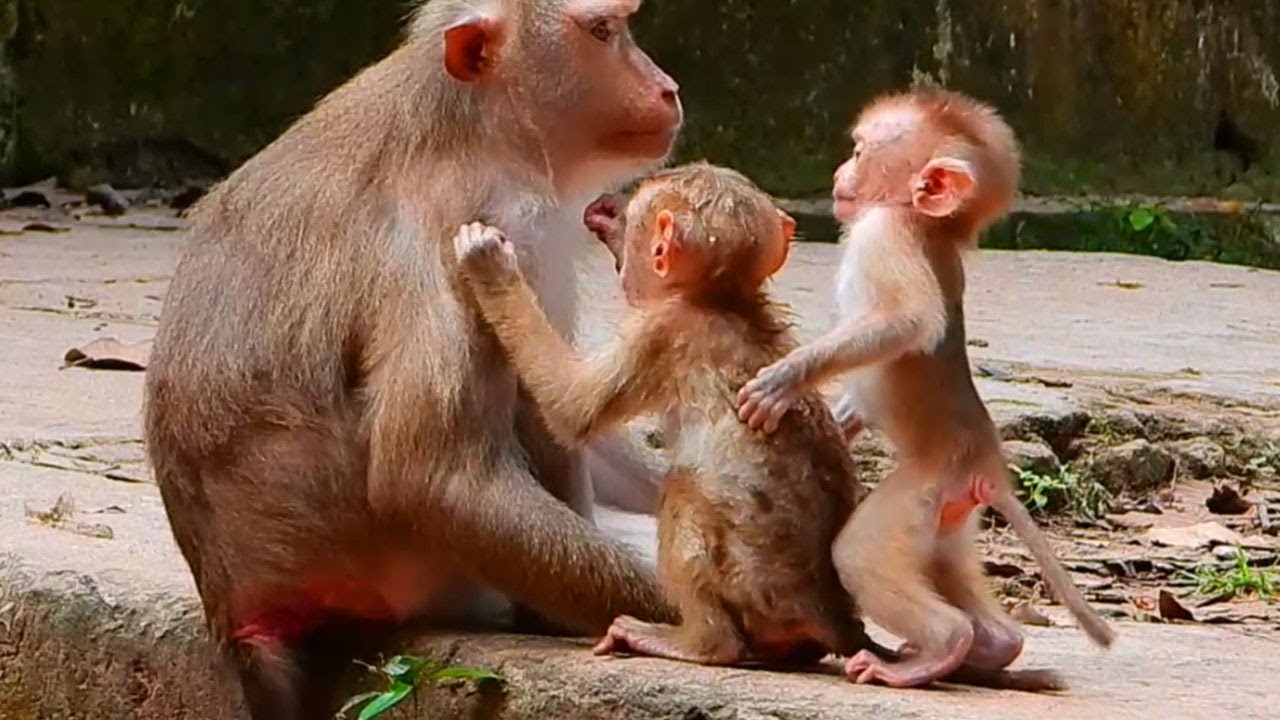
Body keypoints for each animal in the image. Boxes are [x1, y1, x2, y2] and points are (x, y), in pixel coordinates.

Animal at [143, 1, 685, 717]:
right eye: (601, 32)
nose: (667, 87)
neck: (476, 126)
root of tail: (235, 606)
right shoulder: (504, 221)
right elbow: (432, 477)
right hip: (424, 577)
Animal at [452, 161, 884, 668]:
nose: (607, 211)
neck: (722, 300)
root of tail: (830, 610)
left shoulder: (659, 331)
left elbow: (574, 410)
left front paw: (493, 270)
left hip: (753, 584)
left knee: (683, 492)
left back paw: (700, 641)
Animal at [736, 88, 1116, 689]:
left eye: (860, 152)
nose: (840, 172)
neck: (931, 227)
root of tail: (985, 462)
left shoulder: (886, 233)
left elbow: (907, 320)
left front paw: (784, 380)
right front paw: (842, 417)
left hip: (927, 485)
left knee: (861, 552)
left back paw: (940, 648)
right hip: (952, 517)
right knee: (949, 568)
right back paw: (994, 646)